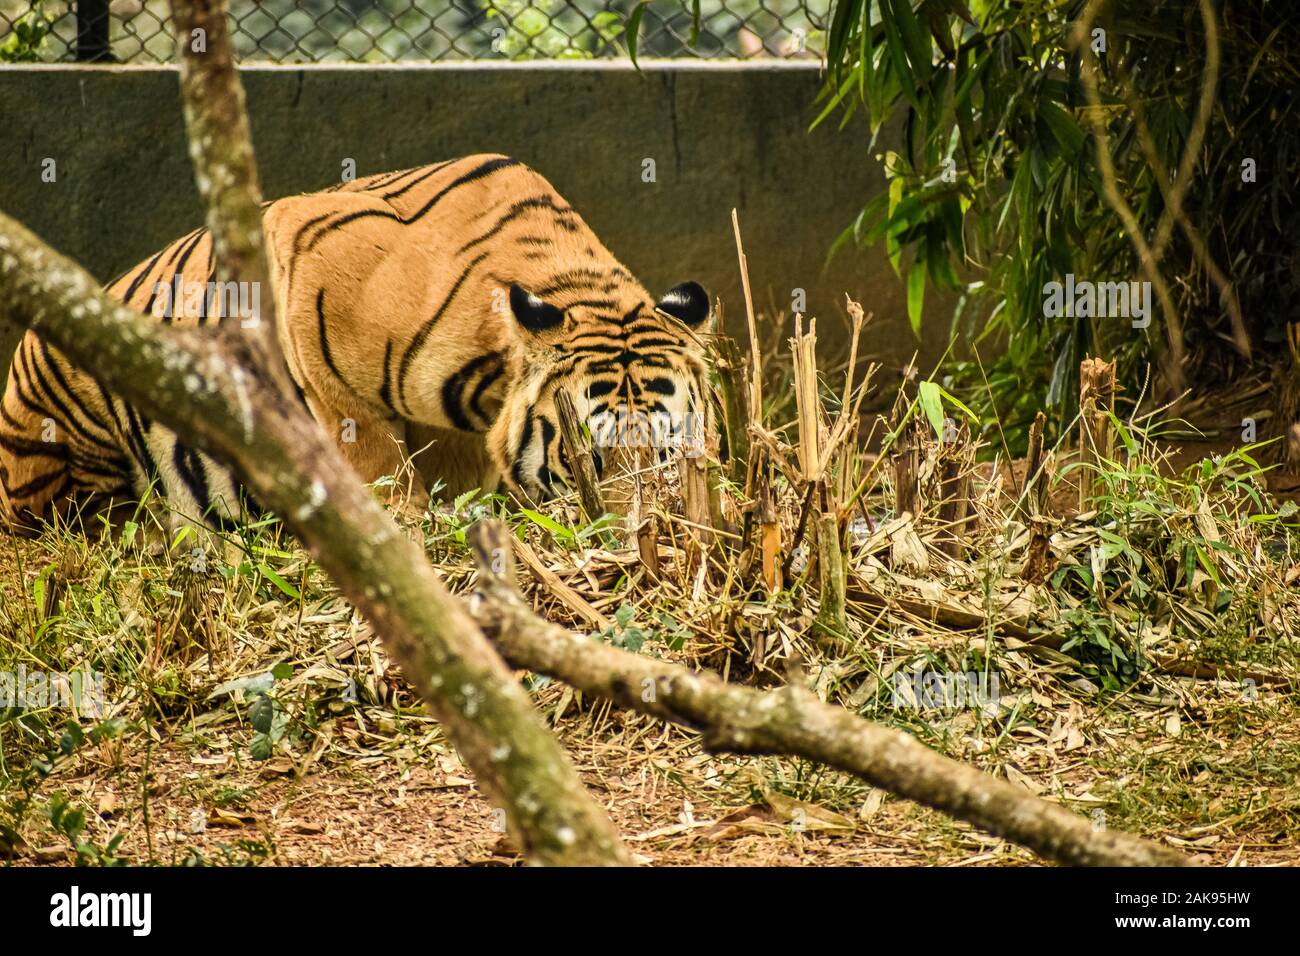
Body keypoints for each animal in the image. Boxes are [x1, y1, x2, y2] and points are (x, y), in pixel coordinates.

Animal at [0, 154, 713, 532]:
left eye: (671, 456)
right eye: (593, 460)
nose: (643, 534)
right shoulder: (305, 283)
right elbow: (371, 459)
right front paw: (401, 532)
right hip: (61, 455)